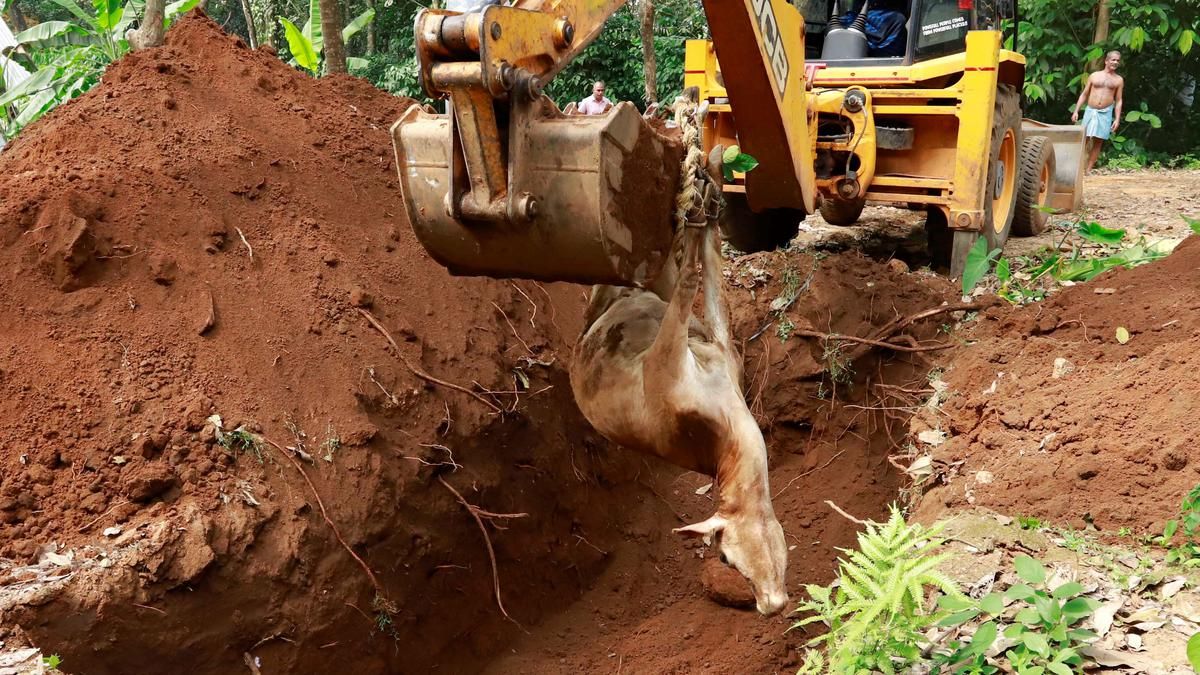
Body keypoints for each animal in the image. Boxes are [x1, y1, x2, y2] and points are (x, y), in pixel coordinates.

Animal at [569, 146, 788, 616]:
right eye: (724, 559)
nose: (770, 604)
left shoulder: (724, 352)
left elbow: (713, 270)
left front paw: (715, 176)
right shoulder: (666, 365)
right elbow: (696, 276)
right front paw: (699, 203)